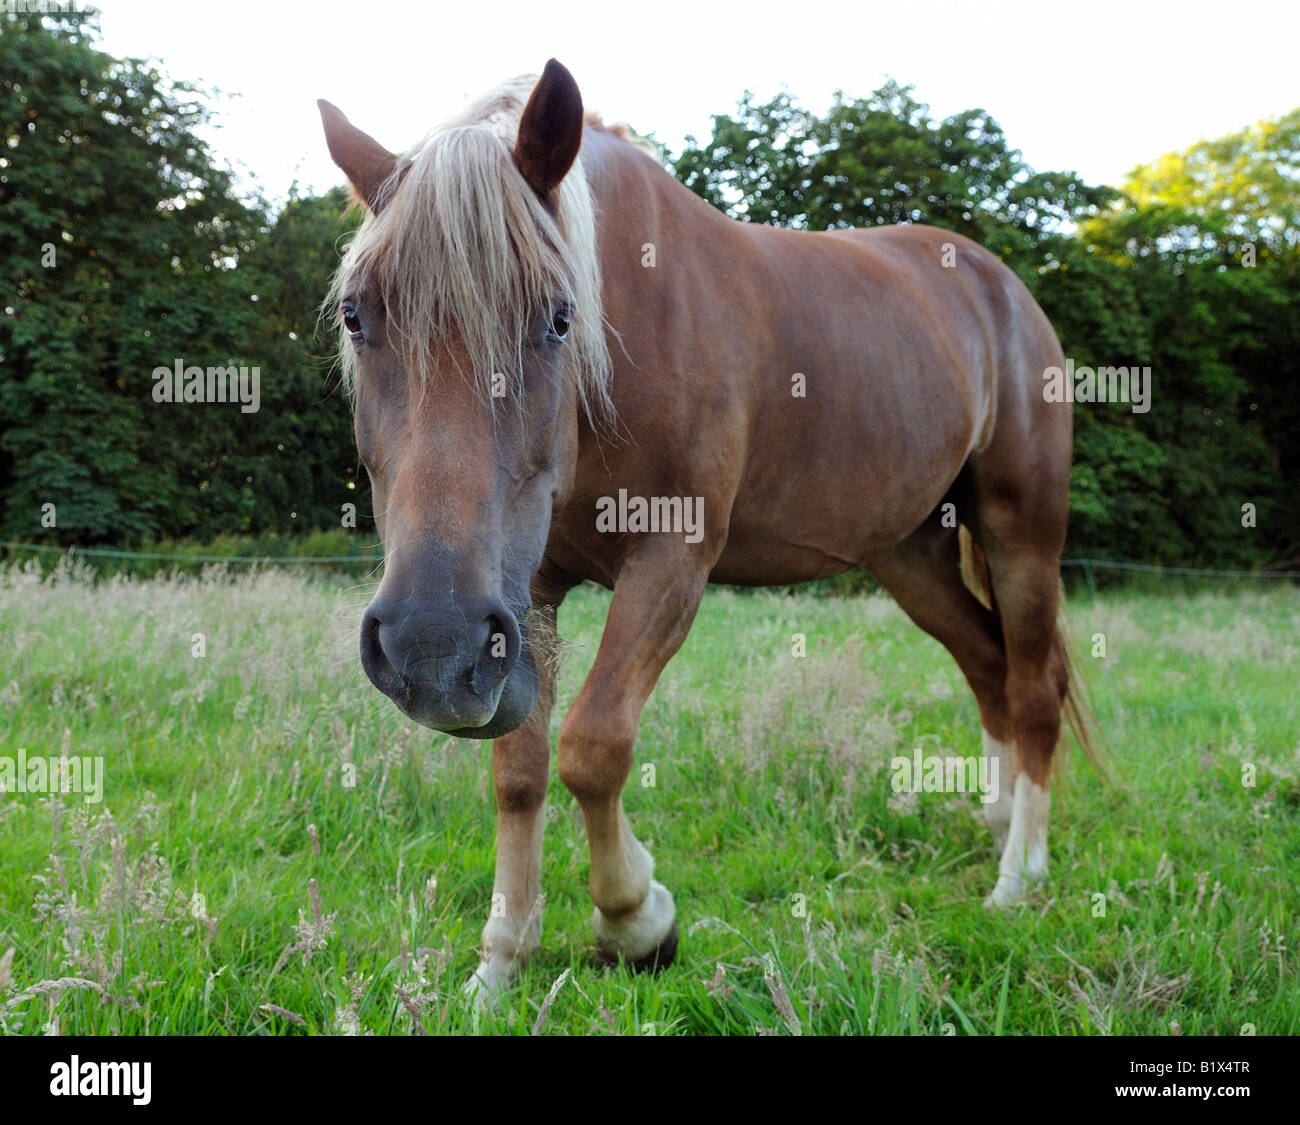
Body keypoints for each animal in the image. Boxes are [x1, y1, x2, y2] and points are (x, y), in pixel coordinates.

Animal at [318, 59, 1094, 999]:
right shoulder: (525, 592)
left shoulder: (671, 563)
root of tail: (999, 284)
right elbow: (520, 769)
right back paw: (997, 819)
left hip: (1023, 532)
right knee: (986, 663)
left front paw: (637, 918)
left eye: (559, 317)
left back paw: (1018, 875)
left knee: (1033, 684)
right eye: (356, 316)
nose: (430, 644)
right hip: (910, 554)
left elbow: (594, 746)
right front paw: (501, 959)